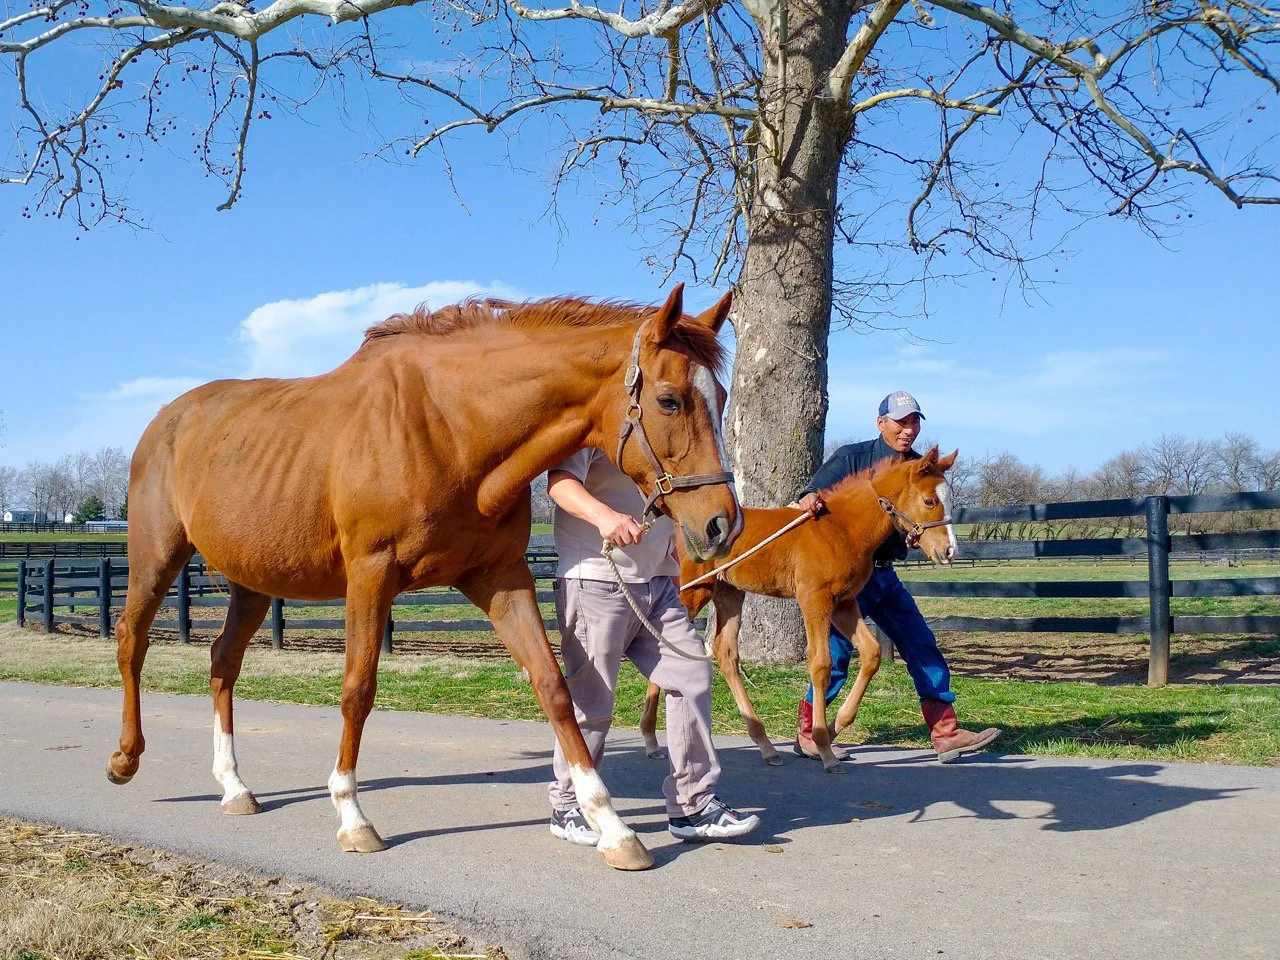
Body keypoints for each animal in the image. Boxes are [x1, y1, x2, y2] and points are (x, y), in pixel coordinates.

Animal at [107, 284, 741, 872]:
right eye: (669, 400)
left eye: (721, 396)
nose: (721, 525)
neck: (448, 425)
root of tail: (164, 420)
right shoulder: (370, 575)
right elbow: (358, 691)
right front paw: (352, 818)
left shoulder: (500, 577)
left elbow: (553, 687)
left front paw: (612, 828)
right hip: (157, 558)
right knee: (131, 640)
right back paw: (125, 759)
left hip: (253, 583)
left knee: (222, 661)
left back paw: (235, 787)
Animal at [639, 449, 958, 772]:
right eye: (929, 501)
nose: (949, 551)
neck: (841, 528)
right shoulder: (814, 599)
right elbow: (821, 663)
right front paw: (823, 747)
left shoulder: (844, 603)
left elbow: (871, 653)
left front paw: (833, 728)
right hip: (691, 591)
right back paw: (650, 737)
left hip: (729, 593)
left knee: (724, 652)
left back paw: (764, 745)